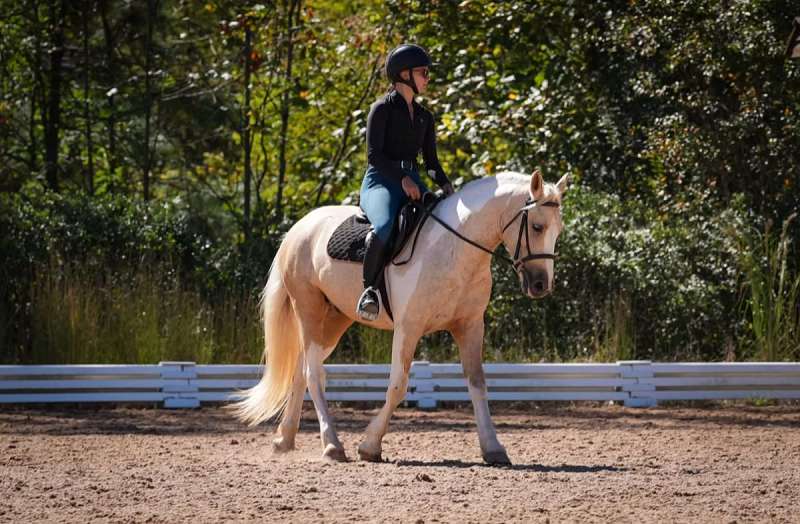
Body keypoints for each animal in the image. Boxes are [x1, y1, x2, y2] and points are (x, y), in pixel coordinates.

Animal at [233, 169, 568, 465]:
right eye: (537, 227)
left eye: (558, 231)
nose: (541, 285)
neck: (454, 248)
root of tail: (299, 228)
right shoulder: (409, 328)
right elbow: (398, 385)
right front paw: (369, 446)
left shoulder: (470, 327)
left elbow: (478, 383)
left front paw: (493, 448)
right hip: (309, 311)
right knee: (314, 374)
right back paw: (332, 445)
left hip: (334, 321)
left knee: (302, 370)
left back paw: (284, 439)